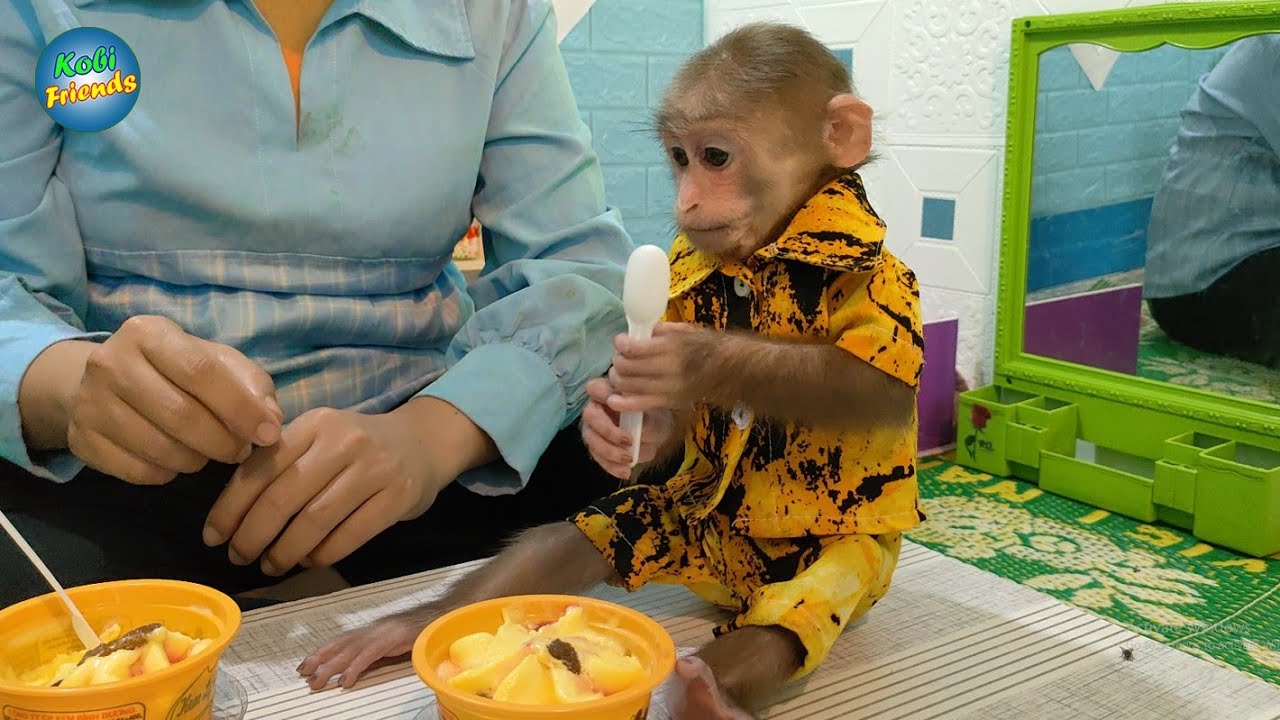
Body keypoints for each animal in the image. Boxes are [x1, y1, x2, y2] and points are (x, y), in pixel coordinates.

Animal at [297, 22, 925, 720]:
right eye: (679, 157)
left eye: (715, 157)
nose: (687, 197)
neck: (763, 250)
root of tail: (725, 589)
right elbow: (667, 429)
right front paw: (614, 424)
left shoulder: (881, 280)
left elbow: (869, 385)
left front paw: (691, 358)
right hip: (656, 522)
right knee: (575, 536)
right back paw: (409, 627)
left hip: (836, 565)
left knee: (797, 609)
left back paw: (710, 690)